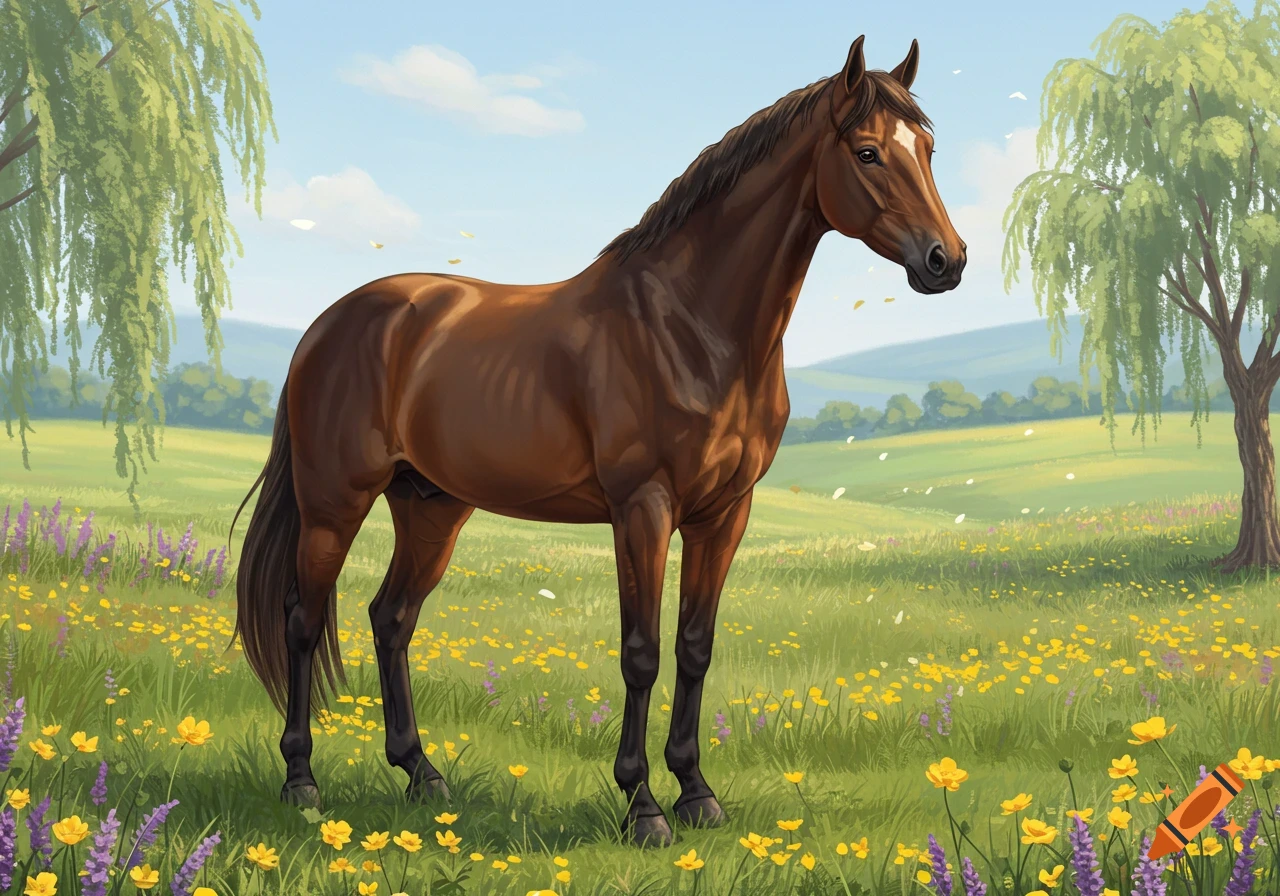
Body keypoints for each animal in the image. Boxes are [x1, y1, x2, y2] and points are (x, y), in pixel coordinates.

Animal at [232, 34, 965, 848]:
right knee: (302, 622)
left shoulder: (724, 514)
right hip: (335, 503)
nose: (947, 260)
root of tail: (329, 325)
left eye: (928, 148)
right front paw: (643, 808)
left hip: (431, 506)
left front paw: (697, 794)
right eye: (868, 152)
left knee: (391, 620)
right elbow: (641, 653)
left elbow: (695, 647)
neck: (691, 326)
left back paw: (424, 776)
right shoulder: (642, 510)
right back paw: (302, 782)